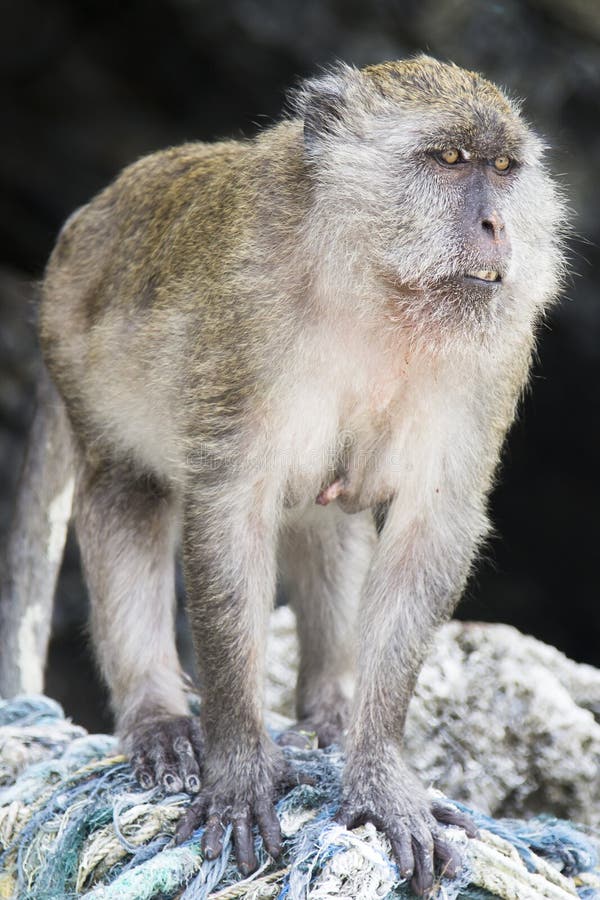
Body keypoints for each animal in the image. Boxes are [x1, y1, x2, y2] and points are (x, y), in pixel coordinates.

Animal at [0, 56, 566, 895]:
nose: (499, 225)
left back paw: (328, 711)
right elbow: (230, 515)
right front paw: (240, 771)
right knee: (127, 496)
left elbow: (428, 529)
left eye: (503, 169)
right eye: (449, 159)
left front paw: (379, 771)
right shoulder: (247, 317)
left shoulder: (494, 350)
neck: (375, 285)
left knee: (328, 517)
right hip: (75, 346)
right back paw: (157, 717)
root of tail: (86, 220)